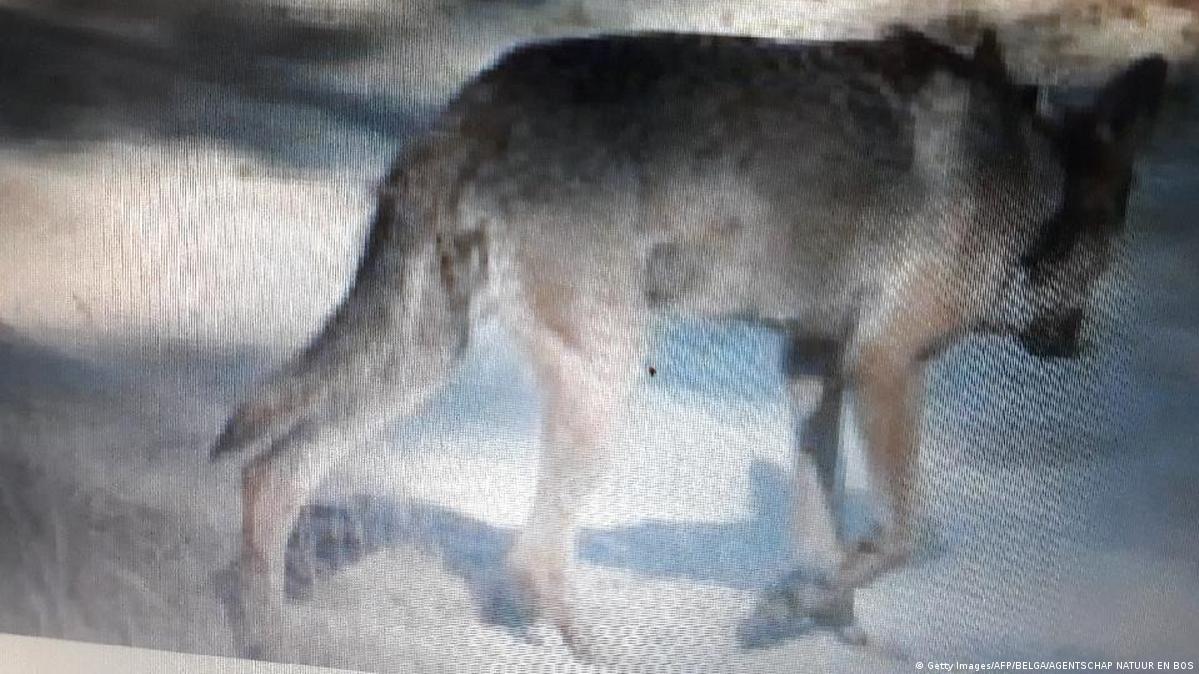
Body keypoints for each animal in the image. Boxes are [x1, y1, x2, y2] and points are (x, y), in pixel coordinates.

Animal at [210, 26, 1167, 651]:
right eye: (1113, 244)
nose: (1075, 346)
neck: (1038, 191)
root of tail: (480, 99)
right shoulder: (884, 367)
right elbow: (905, 534)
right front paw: (791, 611)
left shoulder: (813, 369)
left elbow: (825, 532)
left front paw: (814, 617)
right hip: (598, 380)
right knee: (531, 562)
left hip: (424, 362)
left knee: (270, 476)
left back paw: (272, 638)